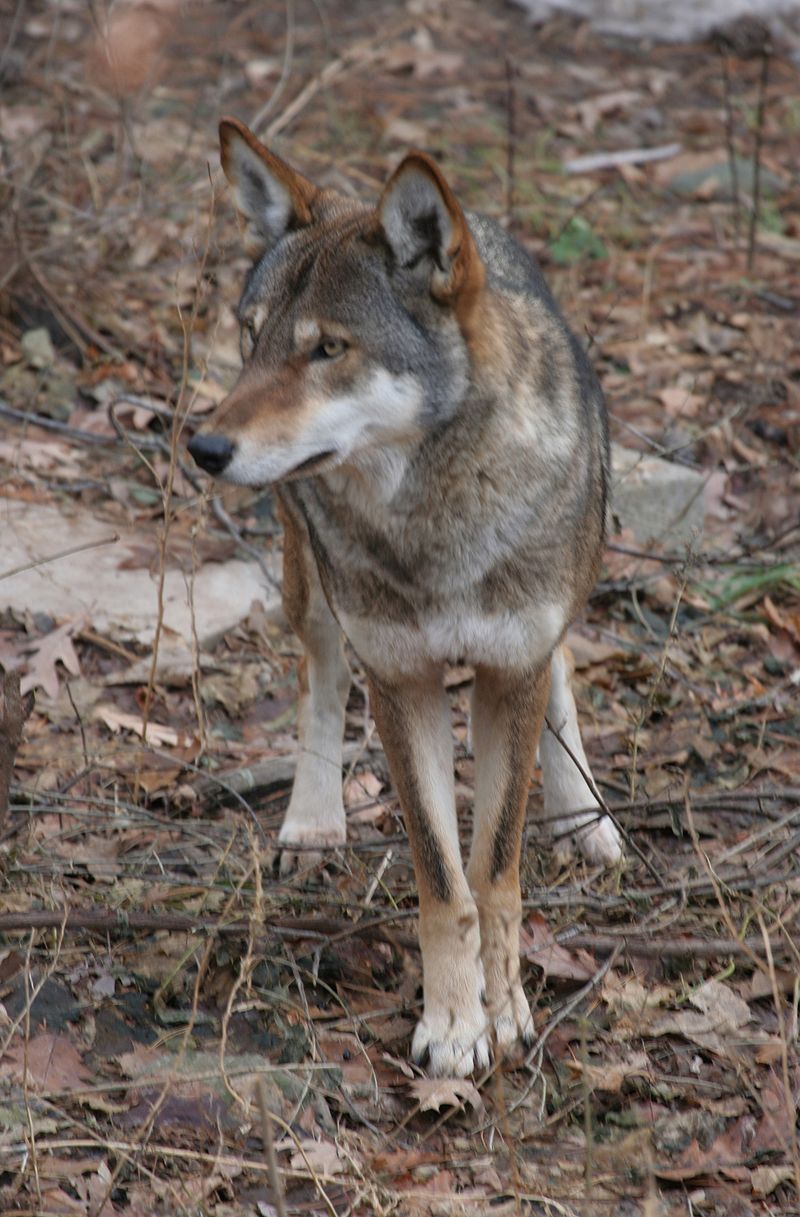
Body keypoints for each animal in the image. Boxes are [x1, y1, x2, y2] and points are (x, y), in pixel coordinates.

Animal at [188, 117, 622, 1077]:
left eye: (328, 348)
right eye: (251, 336)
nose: (203, 446)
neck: (436, 522)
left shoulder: (508, 668)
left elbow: (494, 872)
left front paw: (505, 1011)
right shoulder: (403, 681)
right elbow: (442, 878)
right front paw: (454, 1024)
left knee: (565, 668)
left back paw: (585, 816)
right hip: (309, 577)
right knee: (318, 679)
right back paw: (313, 822)